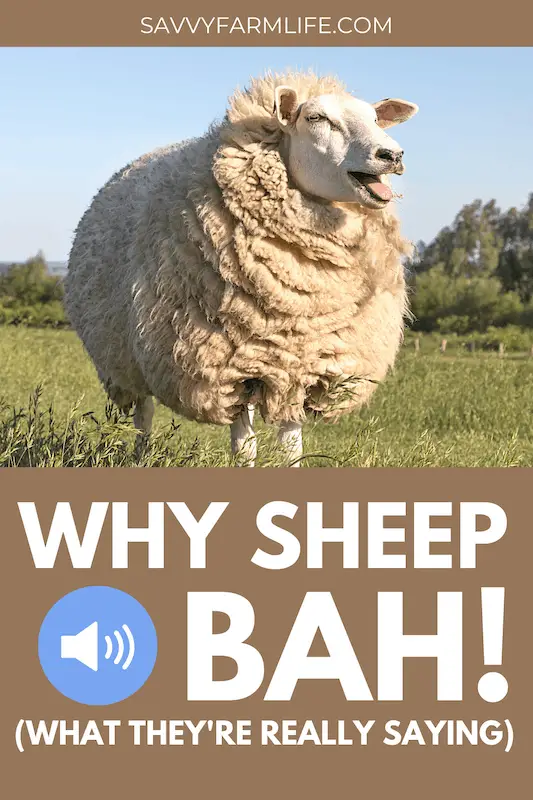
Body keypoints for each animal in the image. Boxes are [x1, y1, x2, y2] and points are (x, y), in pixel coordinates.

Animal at [64, 70, 418, 466]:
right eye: (316, 118)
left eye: (374, 119)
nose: (392, 155)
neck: (300, 299)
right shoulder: (227, 372)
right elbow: (244, 444)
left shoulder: (299, 366)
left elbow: (291, 444)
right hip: (126, 360)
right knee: (144, 415)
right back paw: (141, 457)